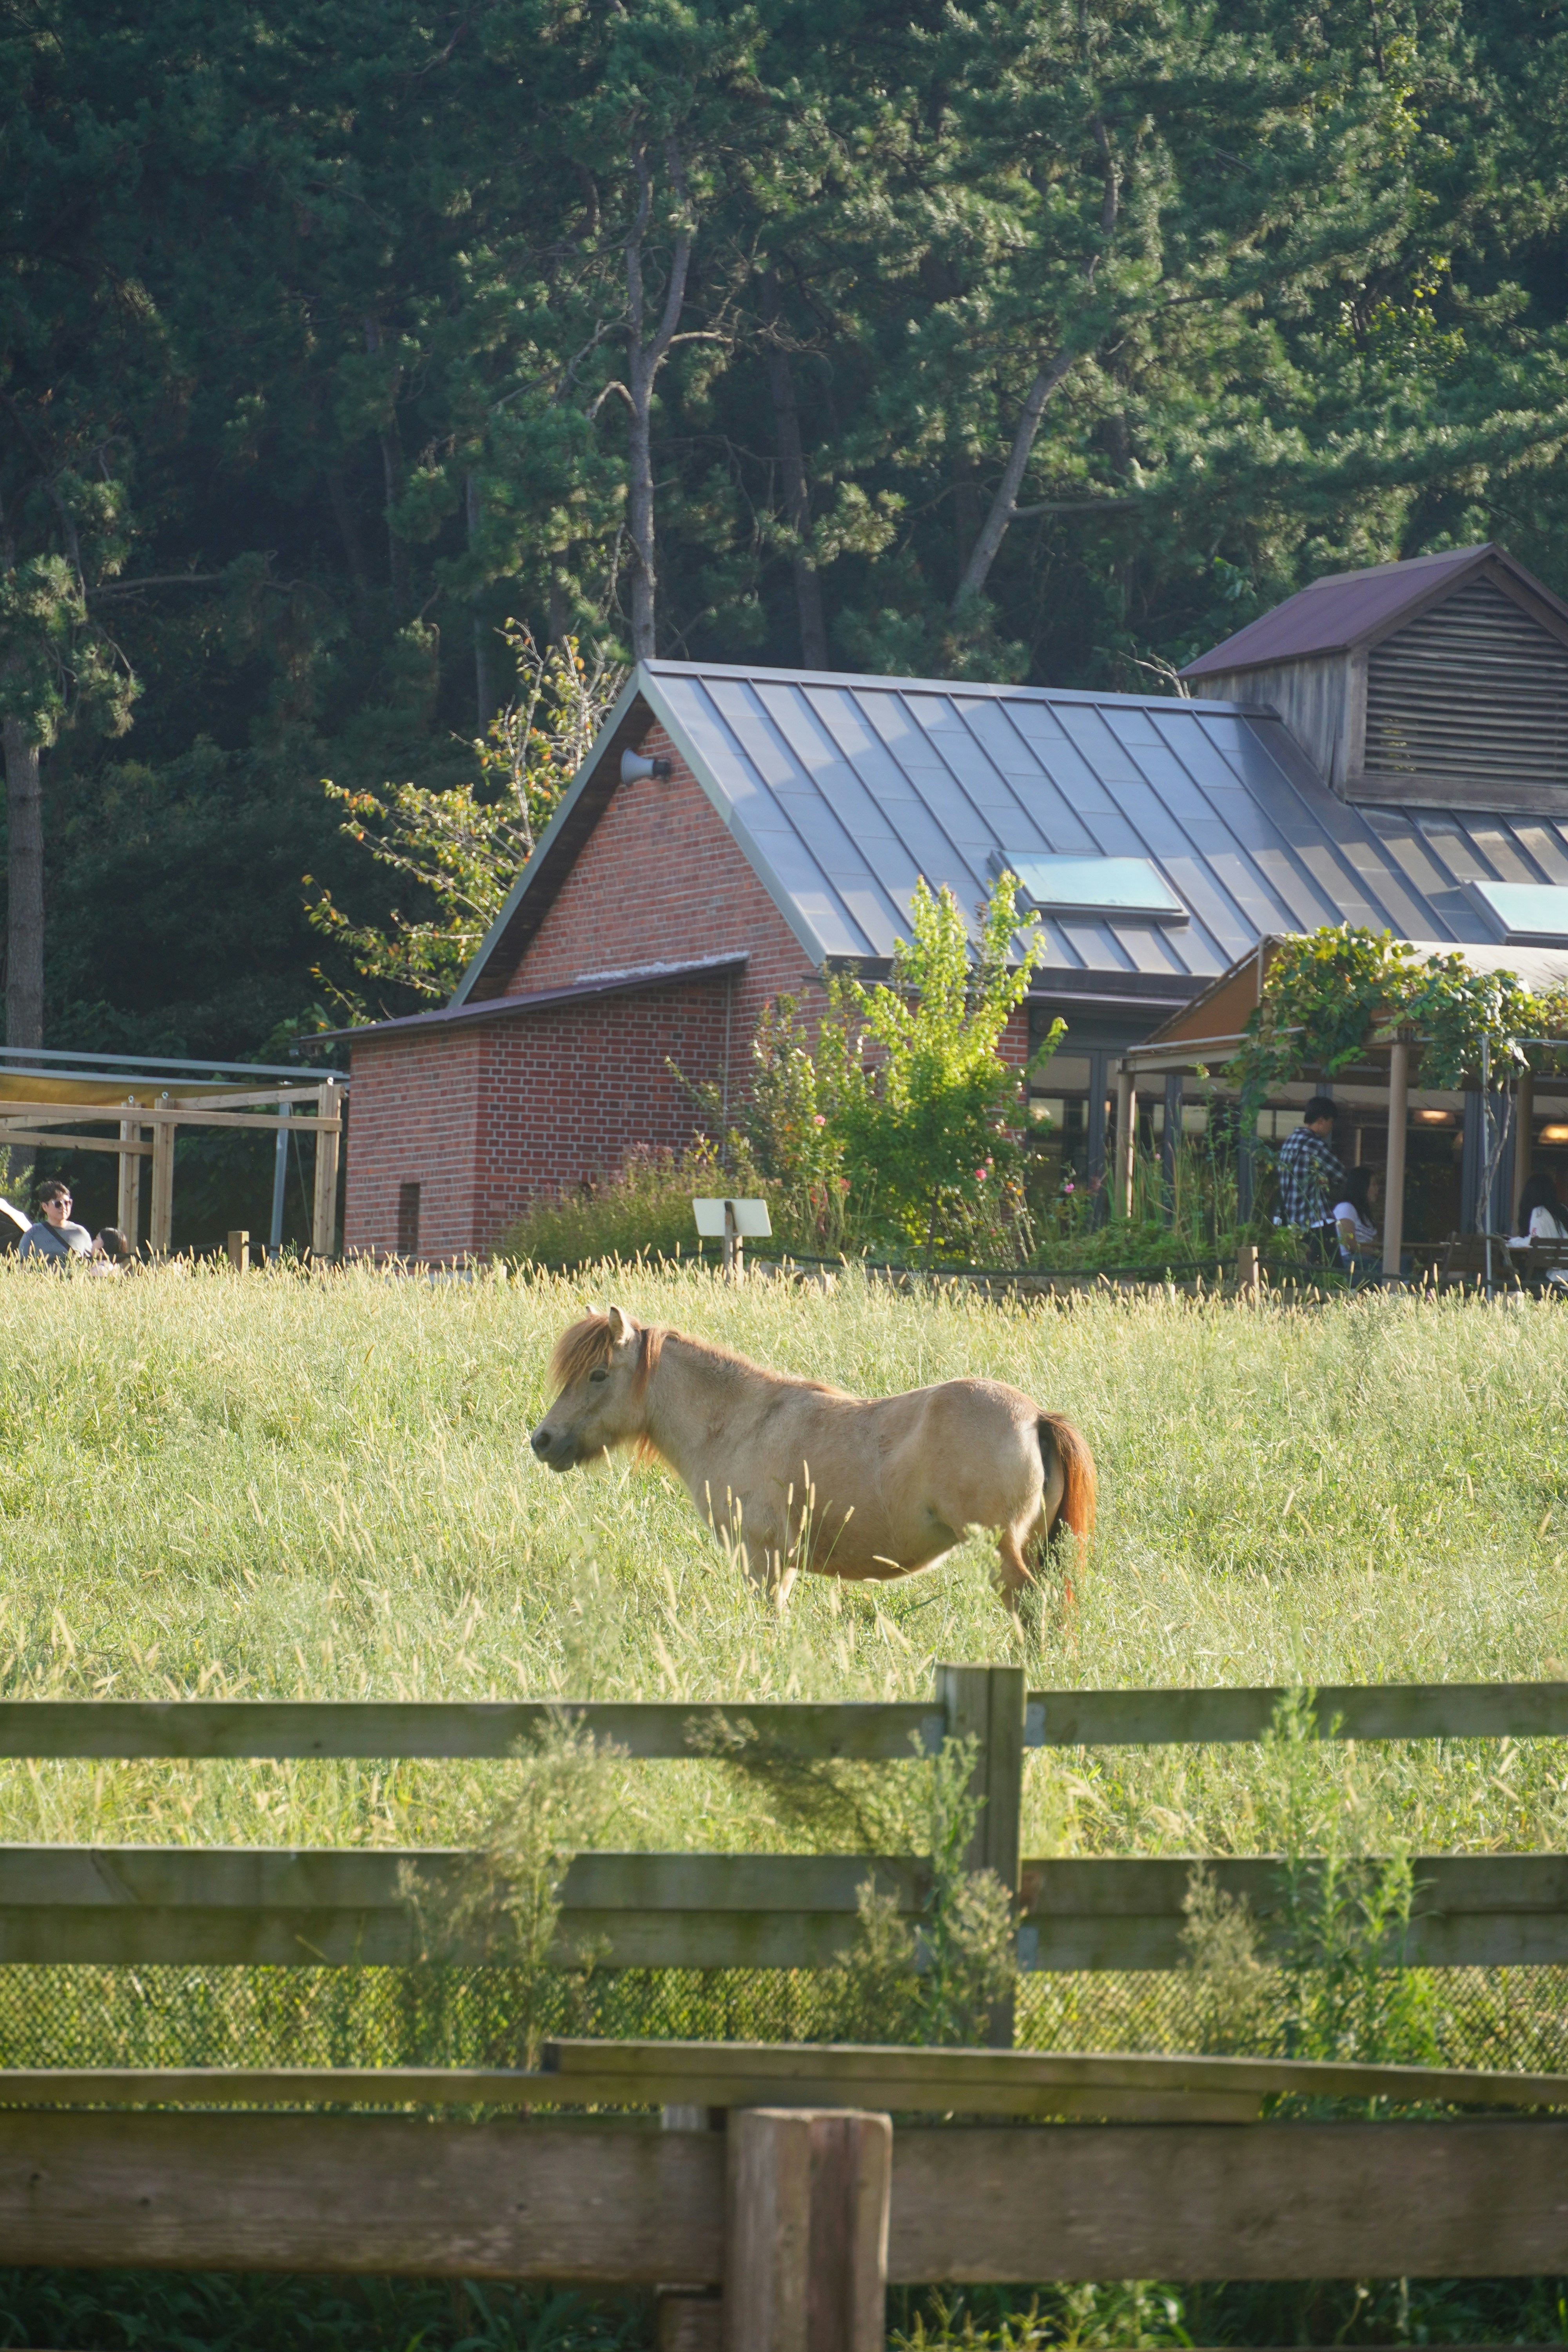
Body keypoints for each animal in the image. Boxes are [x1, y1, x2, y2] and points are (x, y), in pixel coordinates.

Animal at [529, 1306, 1096, 1608]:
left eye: (598, 1374)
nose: (543, 1440)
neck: (740, 1424)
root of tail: (1036, 1417)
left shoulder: (761, 1559)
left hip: (1005, 1553)